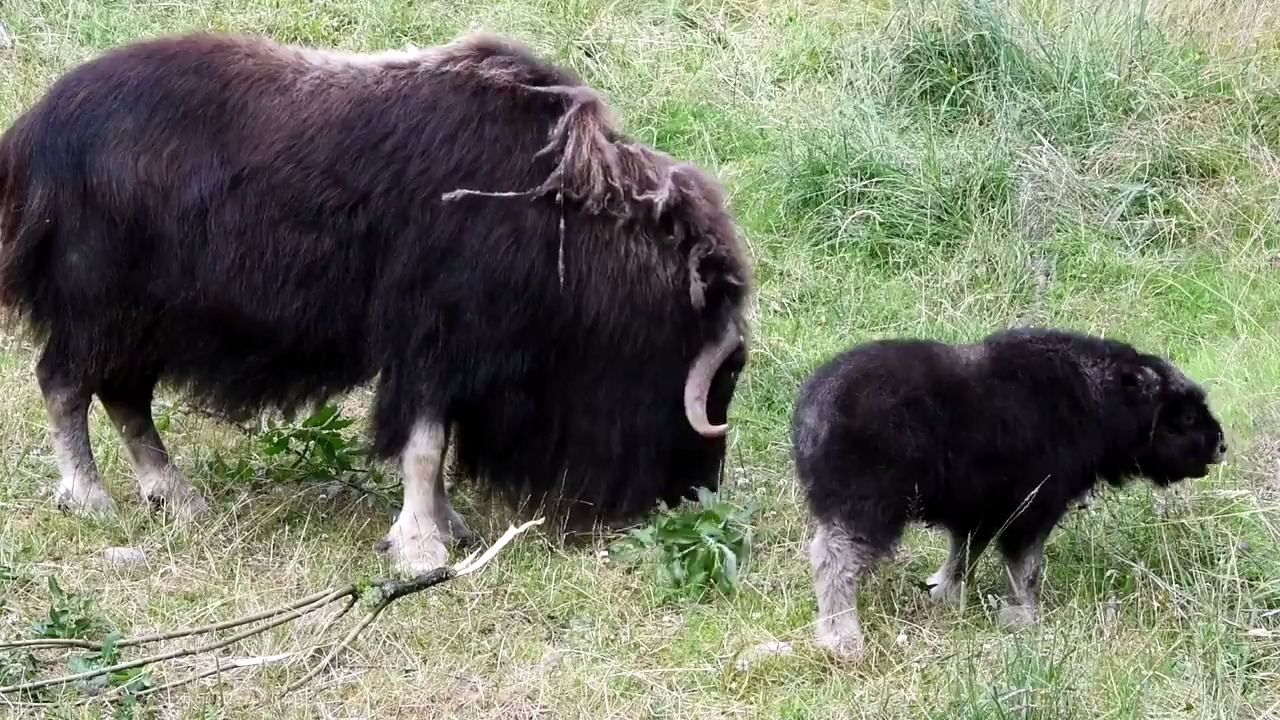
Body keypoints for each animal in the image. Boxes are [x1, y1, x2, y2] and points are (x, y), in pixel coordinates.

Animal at [0, 31, 752, 576]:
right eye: (718, 375)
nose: (695, 493)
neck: (565, 219)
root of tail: (34, 130)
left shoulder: (456, 358)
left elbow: (435, 446)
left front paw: (447, 526)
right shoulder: (432, 342)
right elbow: (424, 445)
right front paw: (421, 549)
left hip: (145, 326)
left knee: (124, 396)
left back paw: (179, 498)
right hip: (104, 309)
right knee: (65, 383)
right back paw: (91, 499)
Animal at [790, 326, 1227, 659]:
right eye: (1186, 415)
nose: (1220, 445)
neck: (1096, 401)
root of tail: (812, 409)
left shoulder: (980, 514)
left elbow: (964, 555)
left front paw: (944, 595)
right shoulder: (1031, 510)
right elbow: (1025, 567)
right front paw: (1022, 617)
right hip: (865, 508)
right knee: (834, 561)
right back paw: (842, 638)